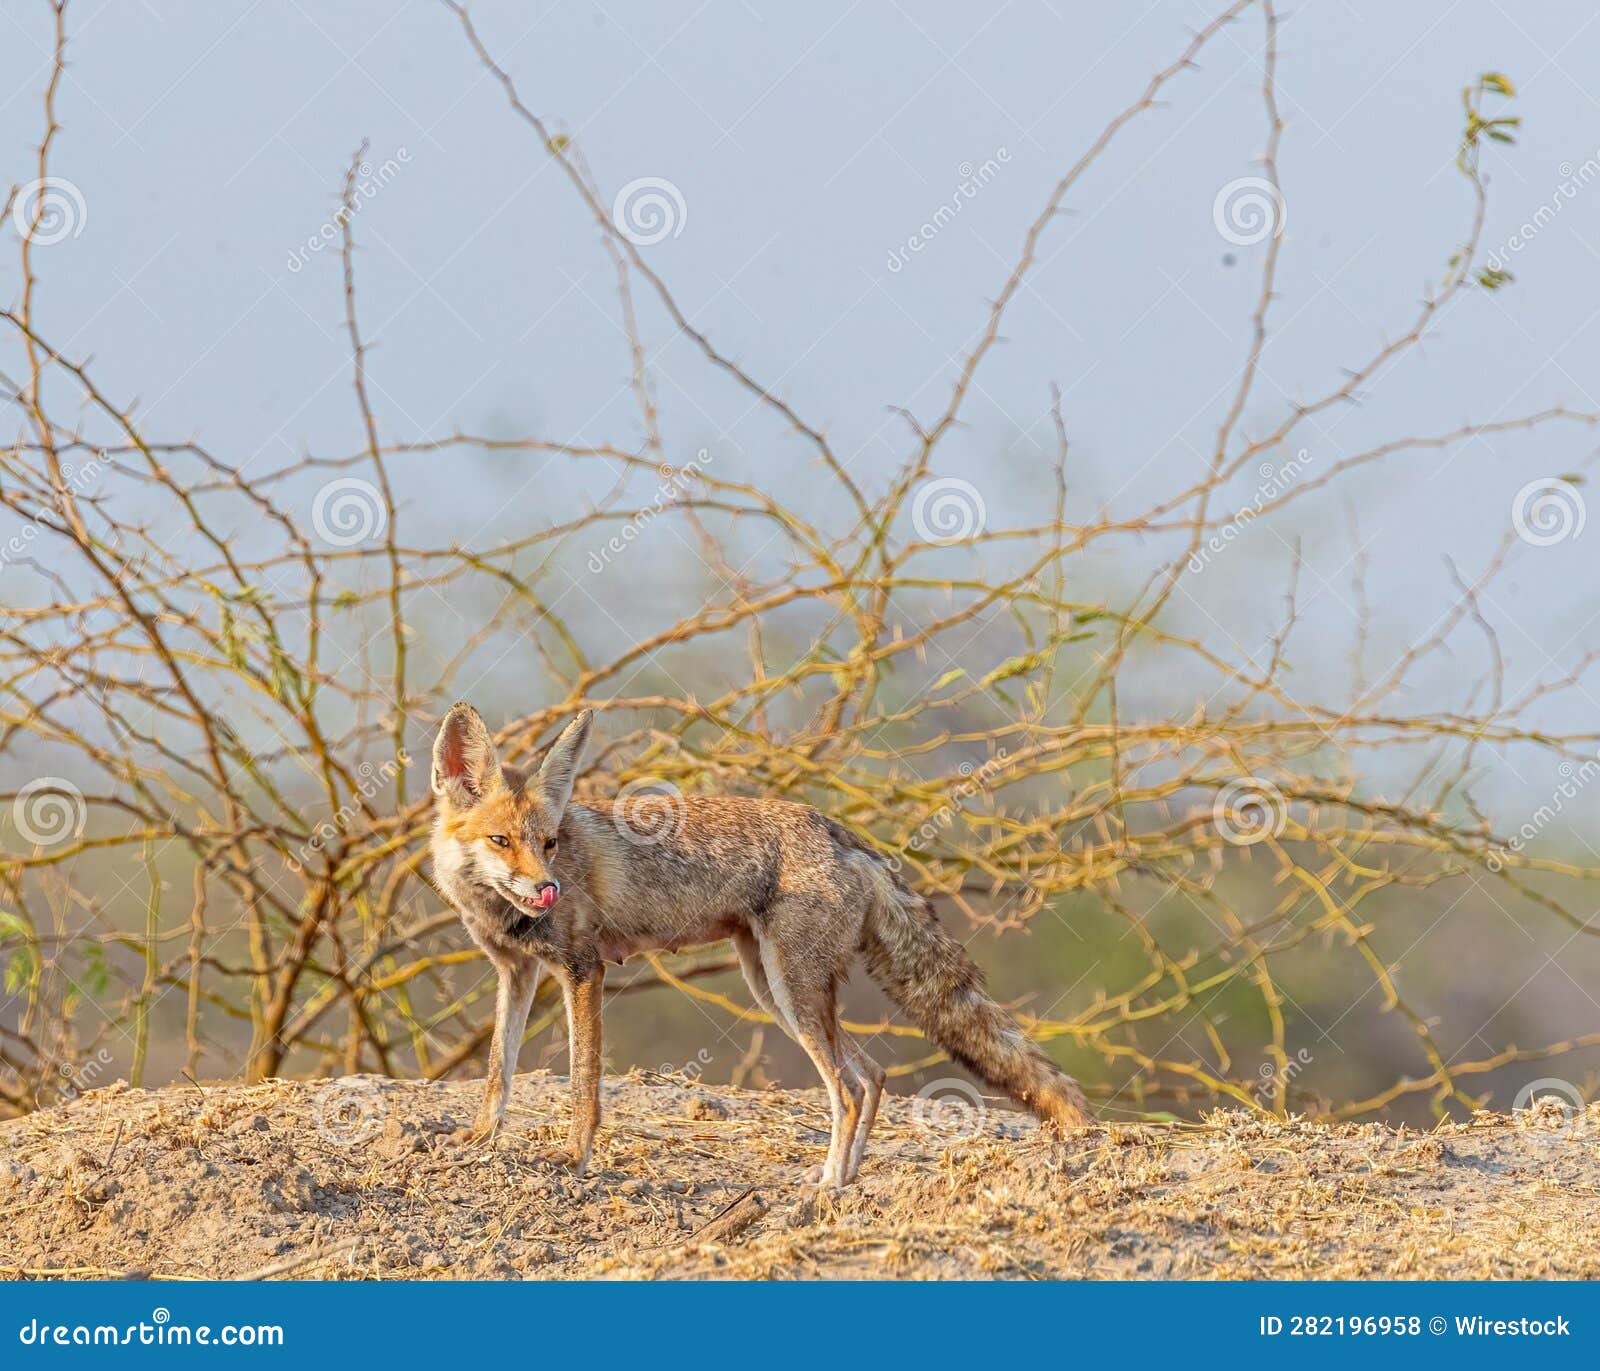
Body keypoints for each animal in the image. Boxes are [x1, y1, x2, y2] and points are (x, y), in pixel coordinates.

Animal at [429, 701, 1092, 1187]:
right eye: (500, 841)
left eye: (548, 844)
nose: (548, 889)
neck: (497, 912)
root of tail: (840, 830)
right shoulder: (516, 974)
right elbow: (499, 1070)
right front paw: (480, 1137)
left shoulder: (581, 970)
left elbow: (582, 1083)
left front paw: (574, 1159)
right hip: (776, 990)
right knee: (874, 1074)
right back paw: (846, 1181)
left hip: (790, 991)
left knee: (848, 1089)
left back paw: (824, 1187)